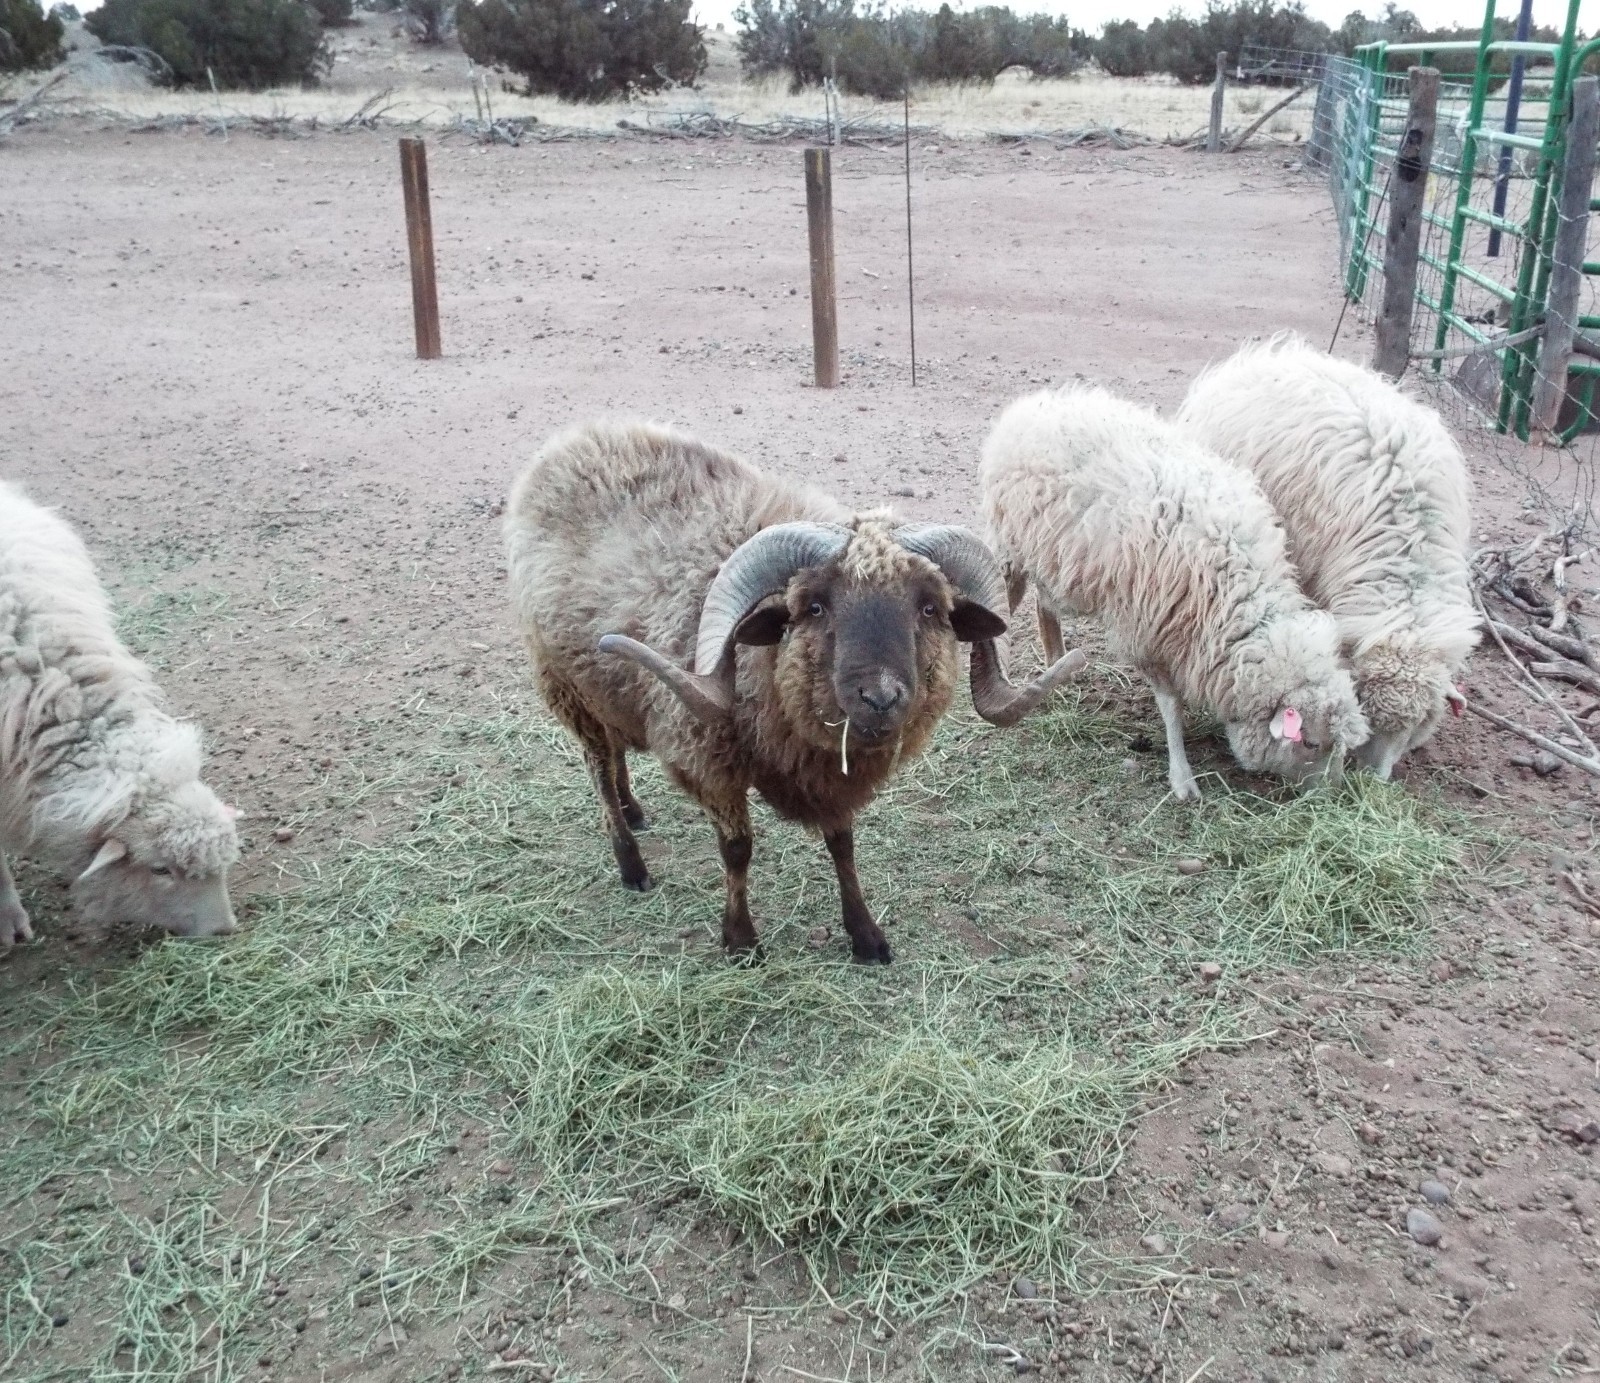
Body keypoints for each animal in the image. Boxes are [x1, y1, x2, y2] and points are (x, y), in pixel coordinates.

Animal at [504, 420, 1084, 964]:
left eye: (929, 608)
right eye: (814, 607)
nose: (880, 698)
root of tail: (572, 440)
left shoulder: (831, 777)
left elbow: (843, 846)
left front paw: (866, 937)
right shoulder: (709, 757)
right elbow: (737, 848)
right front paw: (741, 942)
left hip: (603, 686)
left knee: (617, 750)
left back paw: (633, 810)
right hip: (565, 686)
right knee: (599, 767)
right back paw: (630, 862)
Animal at [979, 385, 1370, 801]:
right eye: (1310, 743)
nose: (1333, 795)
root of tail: (1038, 402)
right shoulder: (1147, 628)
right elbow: (1170, 705)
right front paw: (1182, 777)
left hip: (1051, 552)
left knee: (1045, 603)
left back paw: (1058, 662)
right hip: (1009, 543)